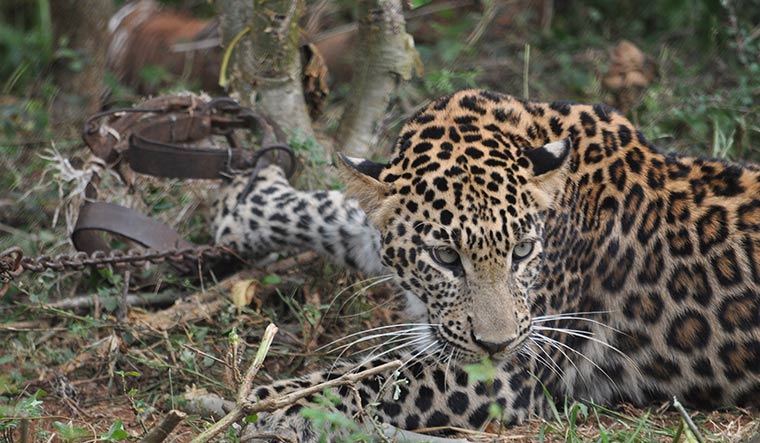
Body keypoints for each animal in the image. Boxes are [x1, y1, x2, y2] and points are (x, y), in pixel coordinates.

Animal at [212, 89, 760, 442]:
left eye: (522, 251)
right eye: (444, 256)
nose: (496, 344)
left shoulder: (506, 374)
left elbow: (371, 378)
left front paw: (270, 404)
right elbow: (340, 209)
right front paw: (247, 206)